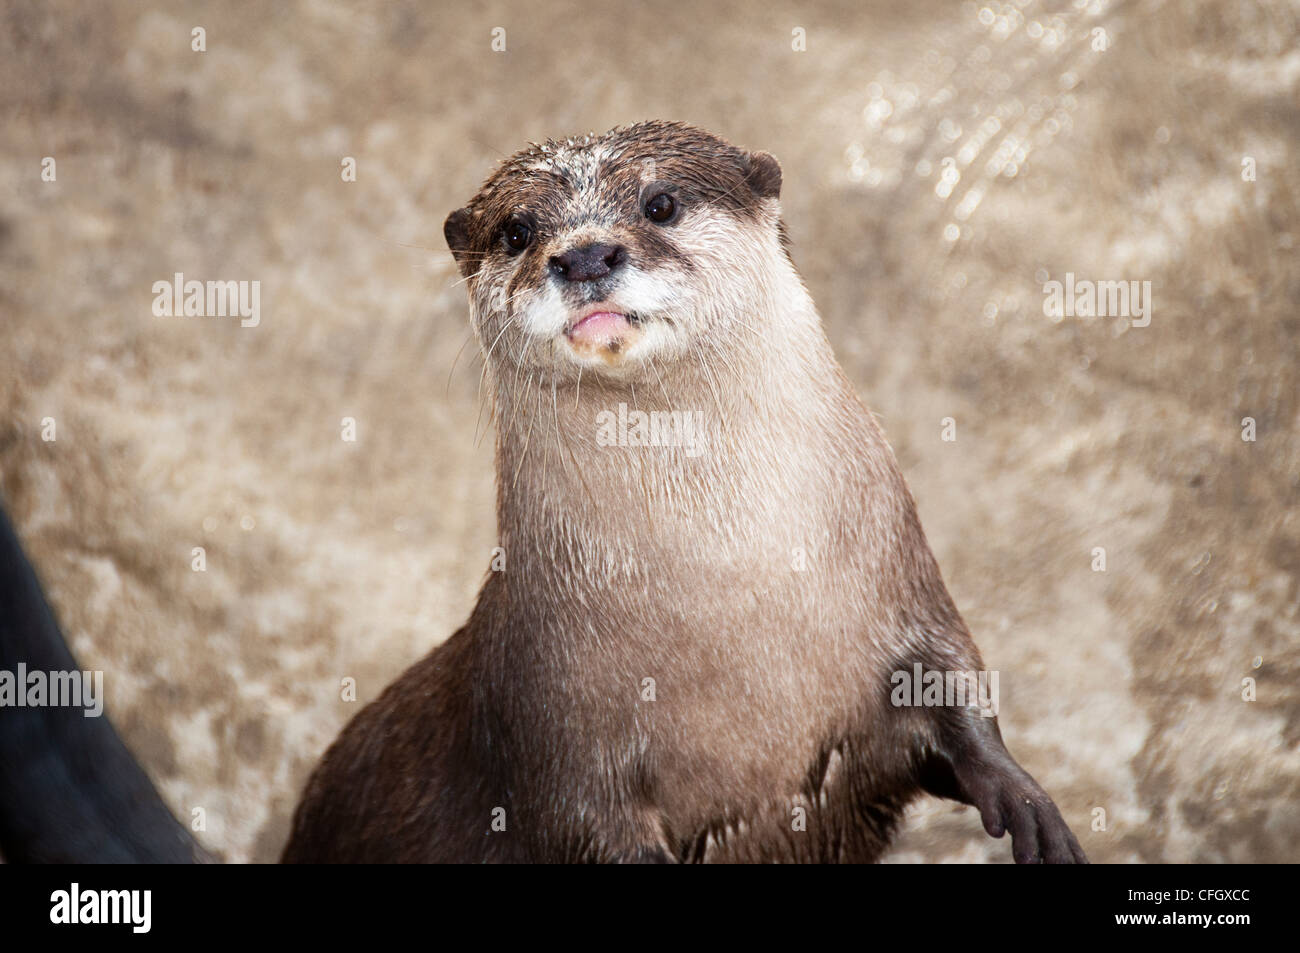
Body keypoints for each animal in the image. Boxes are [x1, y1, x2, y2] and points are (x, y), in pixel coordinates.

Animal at [0, 121, 1084, 865]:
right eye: (518, 229)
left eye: (659, 203)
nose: (584, 254)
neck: (739, 597)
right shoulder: (560, 746)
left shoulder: (903, 594)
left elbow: (954, 692)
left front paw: (1025, 800)